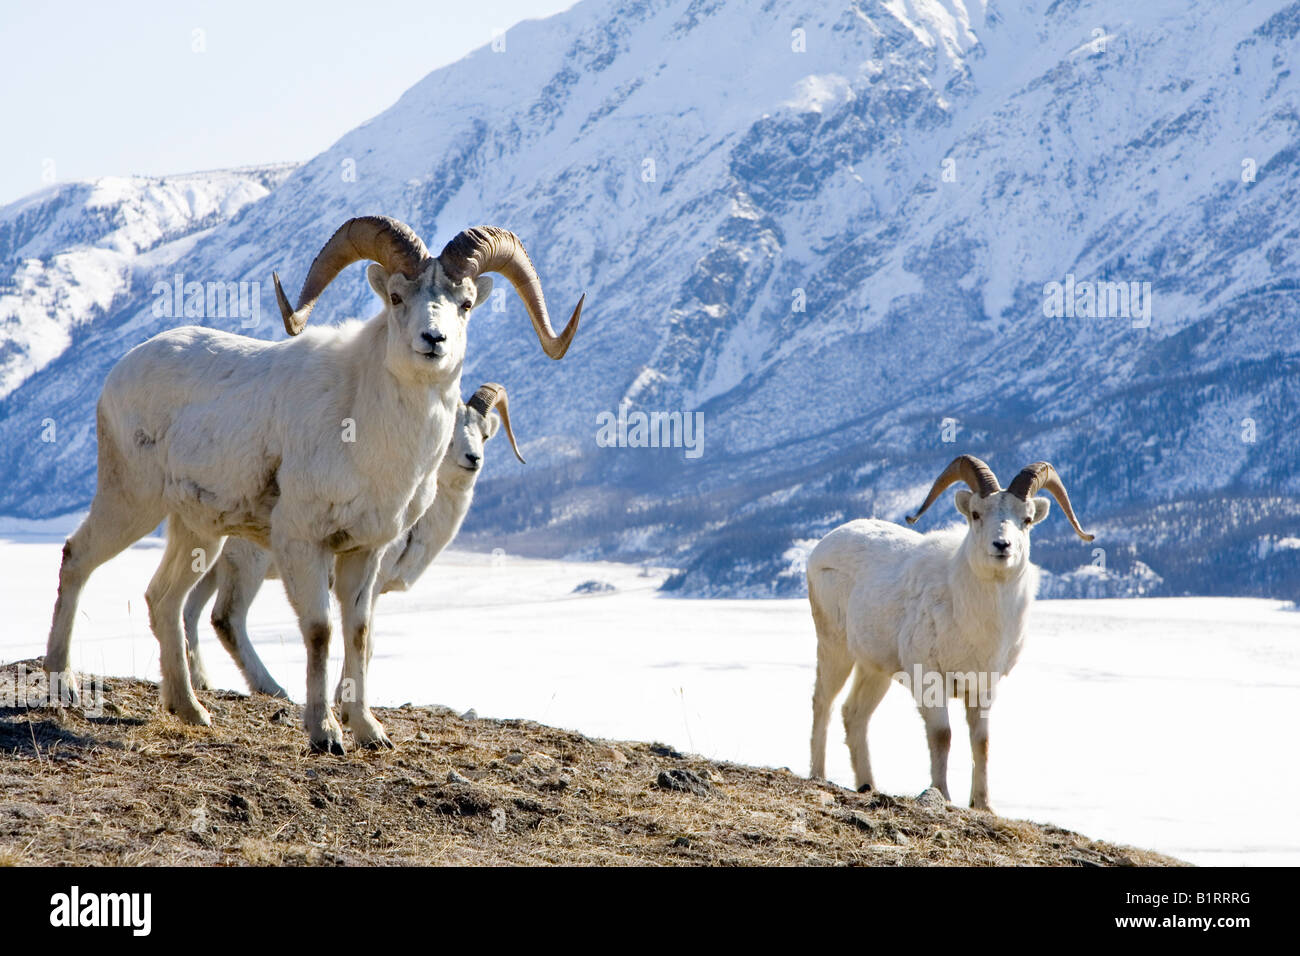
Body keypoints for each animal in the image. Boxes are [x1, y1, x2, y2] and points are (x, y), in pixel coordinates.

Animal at [182, 383, 521, 699]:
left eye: (484, 435)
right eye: (448, 435)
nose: (473, 459)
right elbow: (364, 642)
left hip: (209, 565)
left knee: (189, 611)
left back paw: (202, 682)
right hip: (247, 561)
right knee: (227, 618)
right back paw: (274, 688)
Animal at [806, 455, 1093, 810]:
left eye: (1026, 520)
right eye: (976, 514)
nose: (1002, 546)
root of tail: (822, 547)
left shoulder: (982, 688)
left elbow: (981, 742)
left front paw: (982, 803)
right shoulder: (930, 681)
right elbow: (942, 736)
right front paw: (942, 794)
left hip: (874, 670)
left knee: (854, 714)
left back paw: (868, 785)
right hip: (835, 649)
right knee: (823, 703)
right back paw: (818, 774)